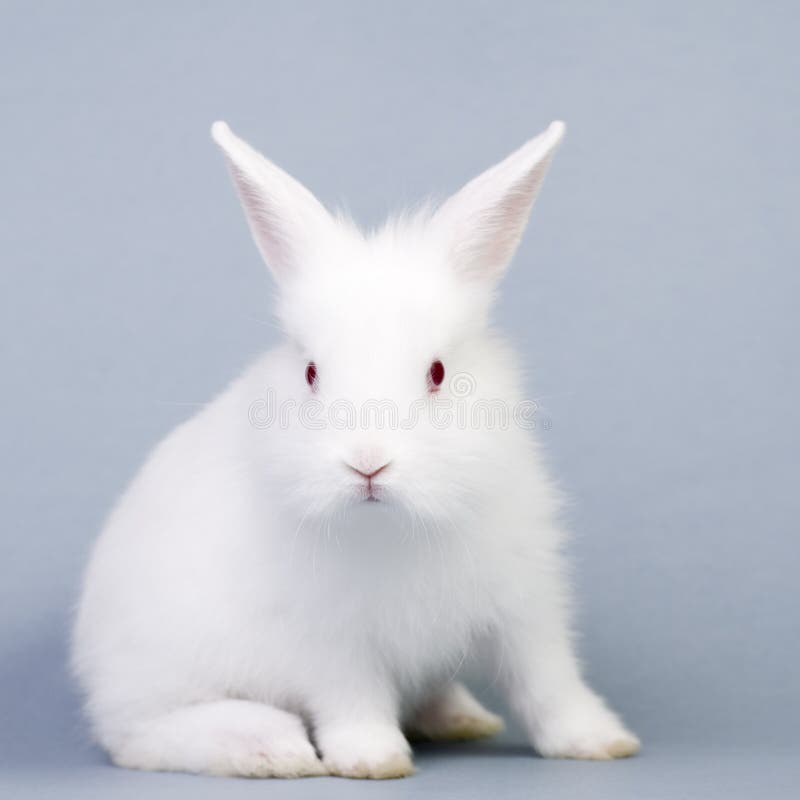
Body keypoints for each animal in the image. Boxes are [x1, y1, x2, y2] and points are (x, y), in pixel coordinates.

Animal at [70, 119, 640, 779]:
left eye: (438, 372)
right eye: (312, 372)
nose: (368, 464)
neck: (393, 526)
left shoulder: (525, 610)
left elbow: (550, 686)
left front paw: (601, 742)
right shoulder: (328, 643)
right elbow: (353, 701)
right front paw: (373, 761)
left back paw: (462, 717)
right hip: (162, 679)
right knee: (144, 737)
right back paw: (273, 749)